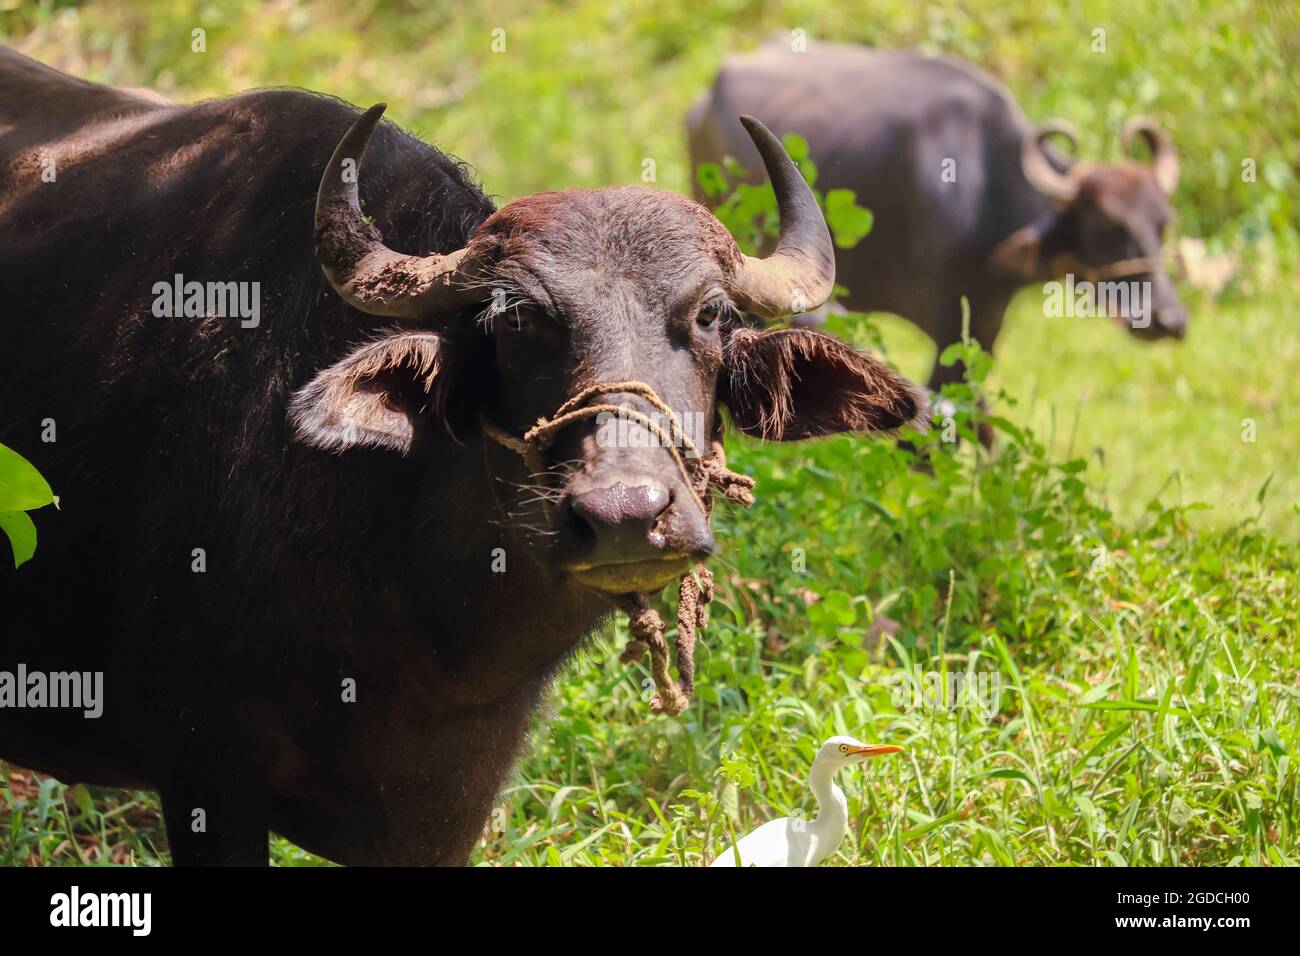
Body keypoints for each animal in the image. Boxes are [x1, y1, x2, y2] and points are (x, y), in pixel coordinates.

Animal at [688, 40, 1187, 419]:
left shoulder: (983, 324)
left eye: (1162, 224)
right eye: (1110, 225)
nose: (1168, 320)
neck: (986, 186)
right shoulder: (949, 321)